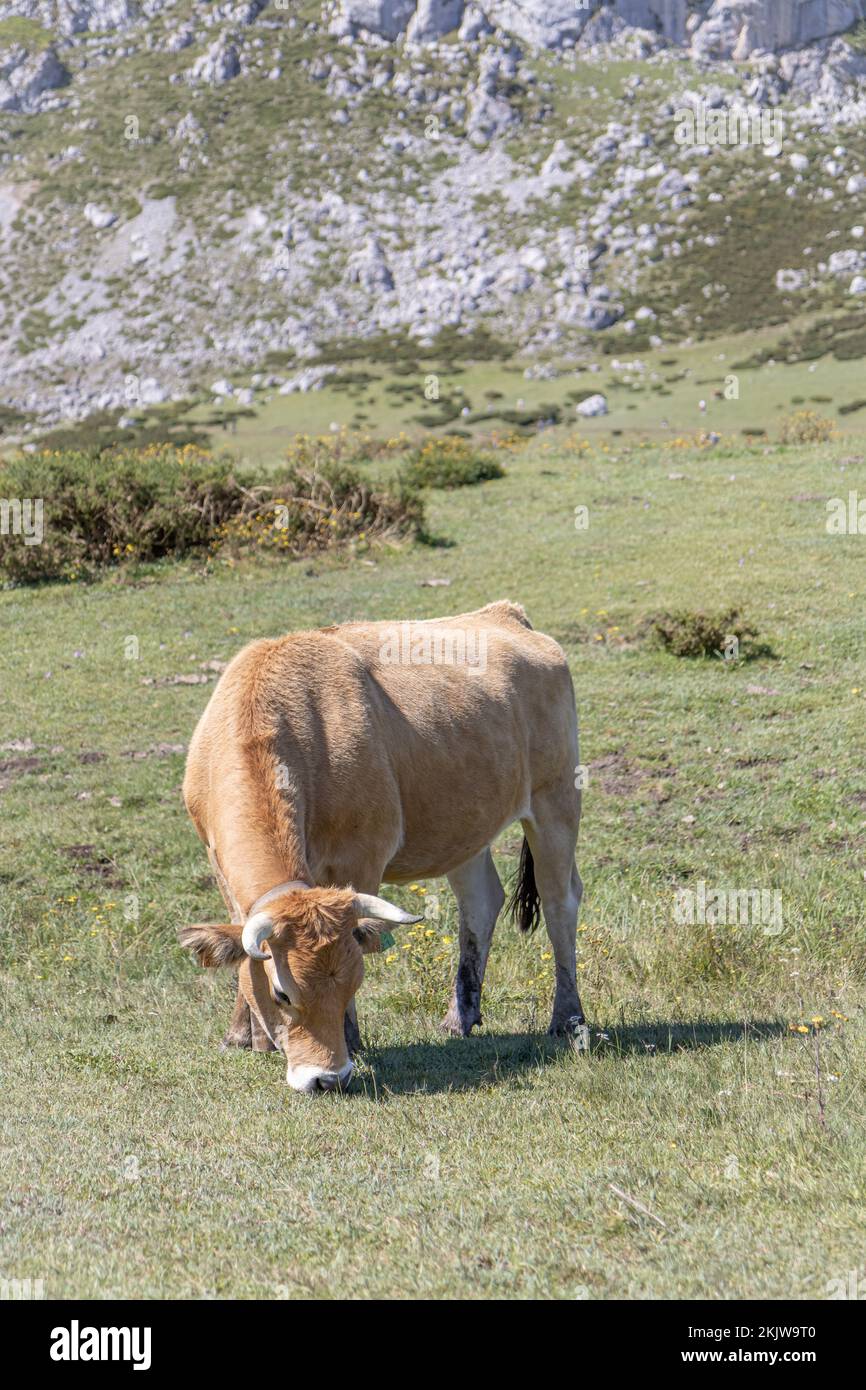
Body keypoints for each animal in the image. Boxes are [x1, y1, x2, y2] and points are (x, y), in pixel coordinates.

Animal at [180, 600, 585, 1093]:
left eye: (353, 983)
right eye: (281, 993)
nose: (327, 1078)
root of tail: (505, 613)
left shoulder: (360, 856)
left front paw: (351, 1037)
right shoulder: (216, 858)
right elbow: (240, 943)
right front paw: (242, 1035)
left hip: (556, 799)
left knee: (560, 902)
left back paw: (568, 1020)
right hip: (467, 826)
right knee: (481, 903)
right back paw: (459, 1017)